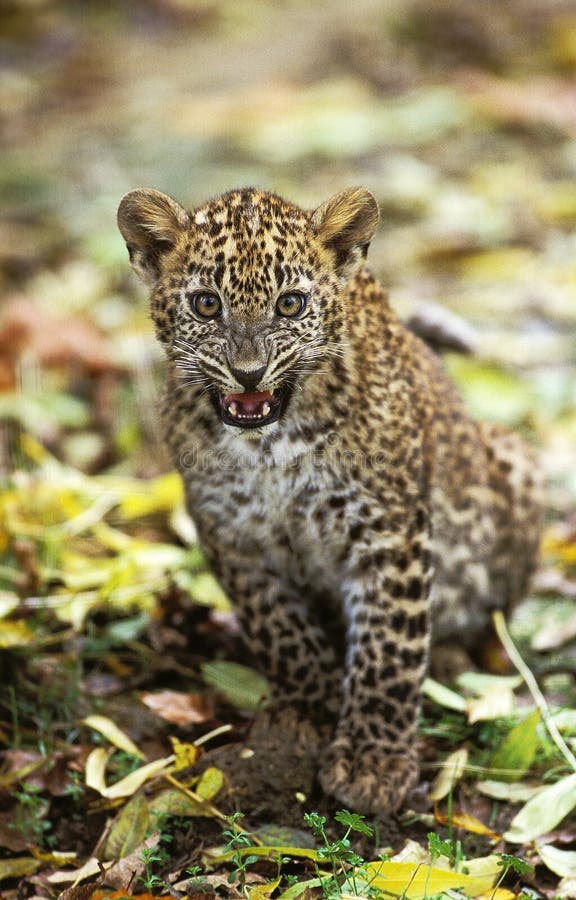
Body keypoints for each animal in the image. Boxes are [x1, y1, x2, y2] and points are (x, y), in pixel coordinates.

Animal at [117, 185, 542, 814]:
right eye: (206, 304)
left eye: (291, 304)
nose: (248, 374)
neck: (269, 447)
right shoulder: (229, 534)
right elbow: (279, 630)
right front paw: (309, 714)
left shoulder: (388, 531)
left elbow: (388, 651)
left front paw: (373, 763)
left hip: (516, 465)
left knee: (492, 619)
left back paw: (451, 656)